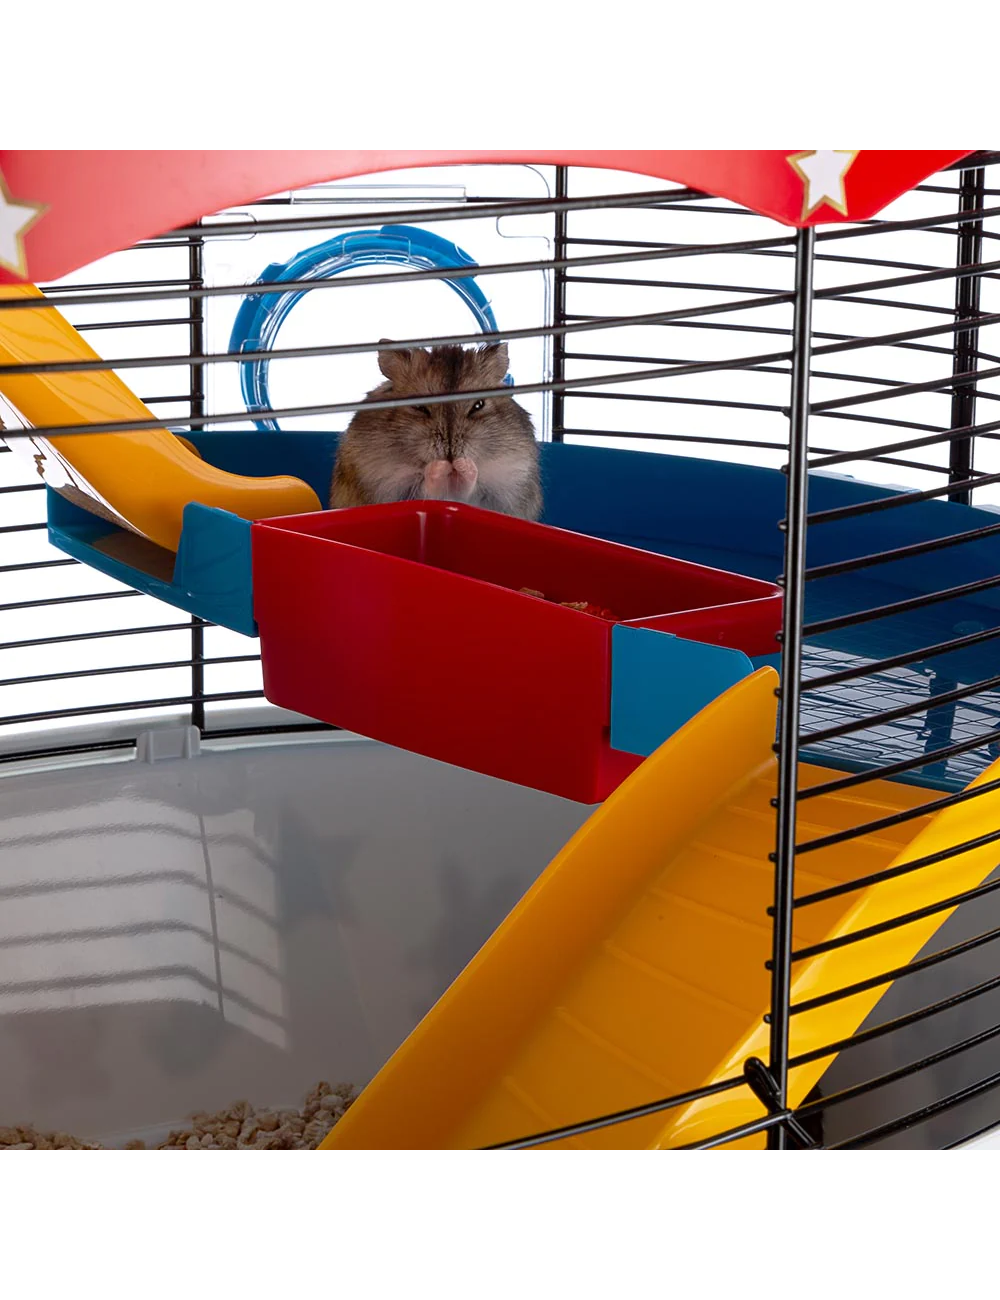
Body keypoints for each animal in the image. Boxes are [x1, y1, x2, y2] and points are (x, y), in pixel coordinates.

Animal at [330, 341, 542, 520]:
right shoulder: (389, 488)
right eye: (419, 407)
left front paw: (463, 465)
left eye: (478, 405)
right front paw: (440, 467)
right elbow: (426, 488)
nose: (450, 457)